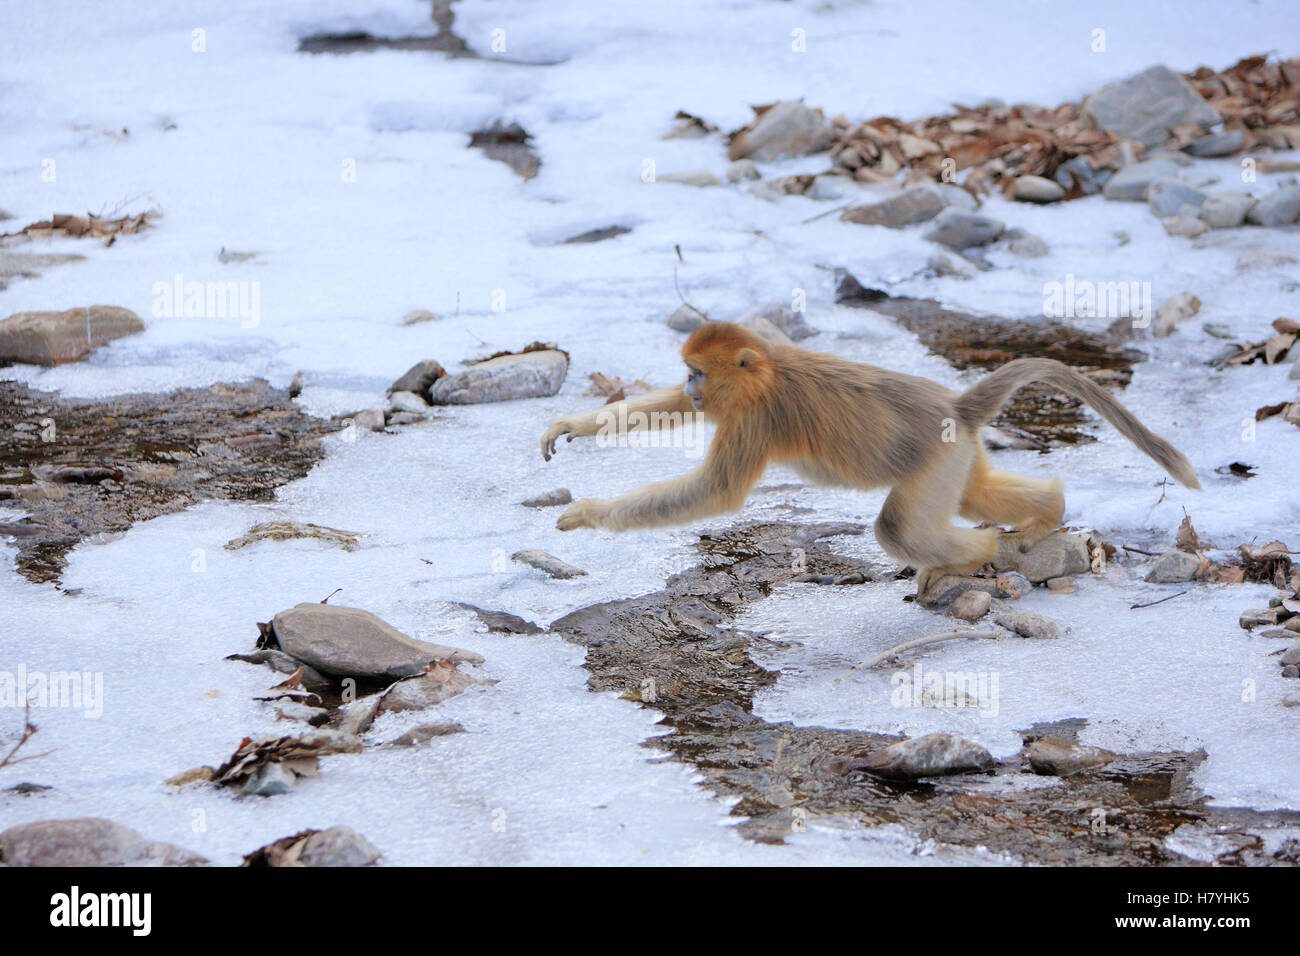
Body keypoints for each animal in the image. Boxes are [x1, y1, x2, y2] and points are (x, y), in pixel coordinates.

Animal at [540, 322, 1199, 594]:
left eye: (698, 370)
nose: (694, 384)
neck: (769, 371)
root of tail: (954, 406)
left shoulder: (756, 417)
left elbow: (716, 492)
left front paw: (592, 513)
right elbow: (672, 410)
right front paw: (573, 424)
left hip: (936, 460)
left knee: (901, 526)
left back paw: (978, 553)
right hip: (958, 454)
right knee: (976, 496)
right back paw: (1047, 513)